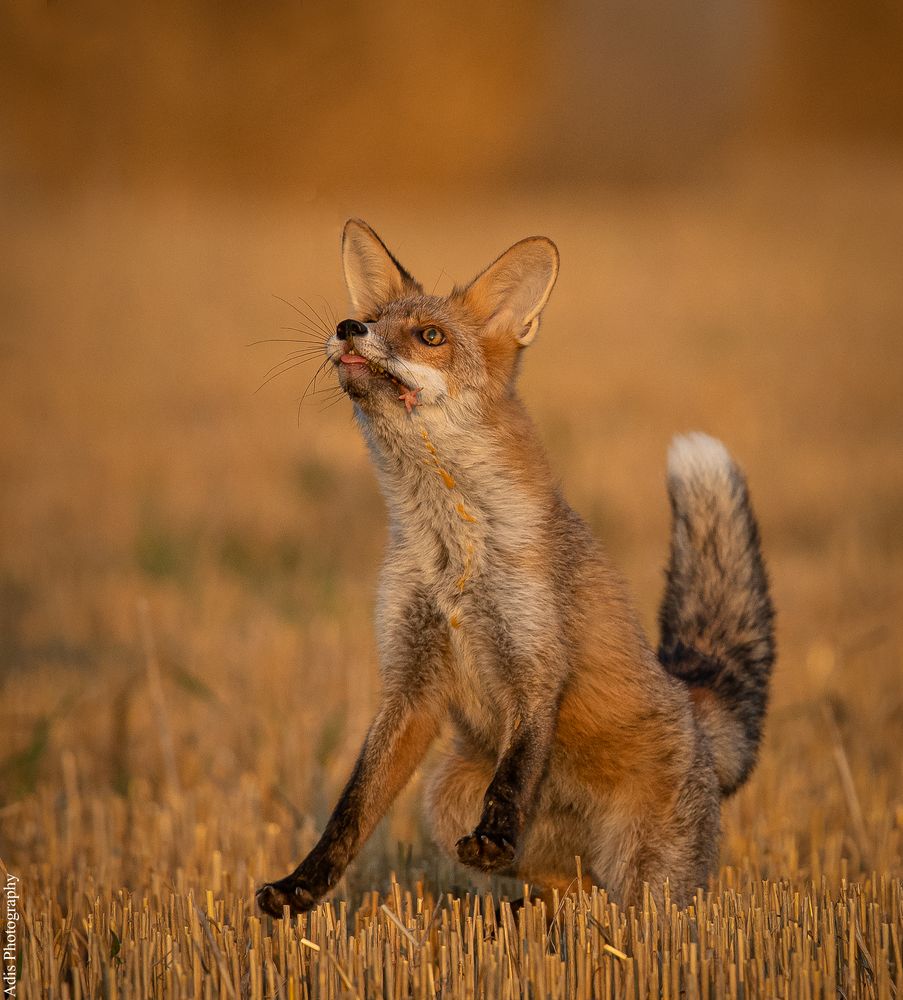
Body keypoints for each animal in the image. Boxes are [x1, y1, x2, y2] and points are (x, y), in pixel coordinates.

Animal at [256, 219, 775, 917]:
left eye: (430, 335)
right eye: (371, 316)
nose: (346, 327)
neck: (453, 554)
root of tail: (694, 712)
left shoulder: (535, 656)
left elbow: (514, 772)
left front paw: (496, 834)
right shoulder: (410, 680)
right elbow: (353, 807)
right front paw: (301, 886)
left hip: (648, 877)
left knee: (635, 910)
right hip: (446, 796)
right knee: (575, 888)